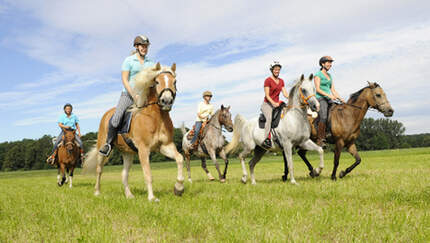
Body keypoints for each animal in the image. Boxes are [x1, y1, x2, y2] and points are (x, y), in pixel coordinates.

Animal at [82, 62, 185, 201]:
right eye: (157, 81)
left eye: (175, 81)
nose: (167, 101)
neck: (156, 118)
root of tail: (107, 113)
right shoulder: (143, 149)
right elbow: (148, 174)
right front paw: (152, 198)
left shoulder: (165, 146)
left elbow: (180, 158)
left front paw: (178, 188)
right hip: (102, 149)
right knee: (99, 170)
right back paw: (97, 192)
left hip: (128, 153)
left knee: (124, 174)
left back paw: (129, 195)